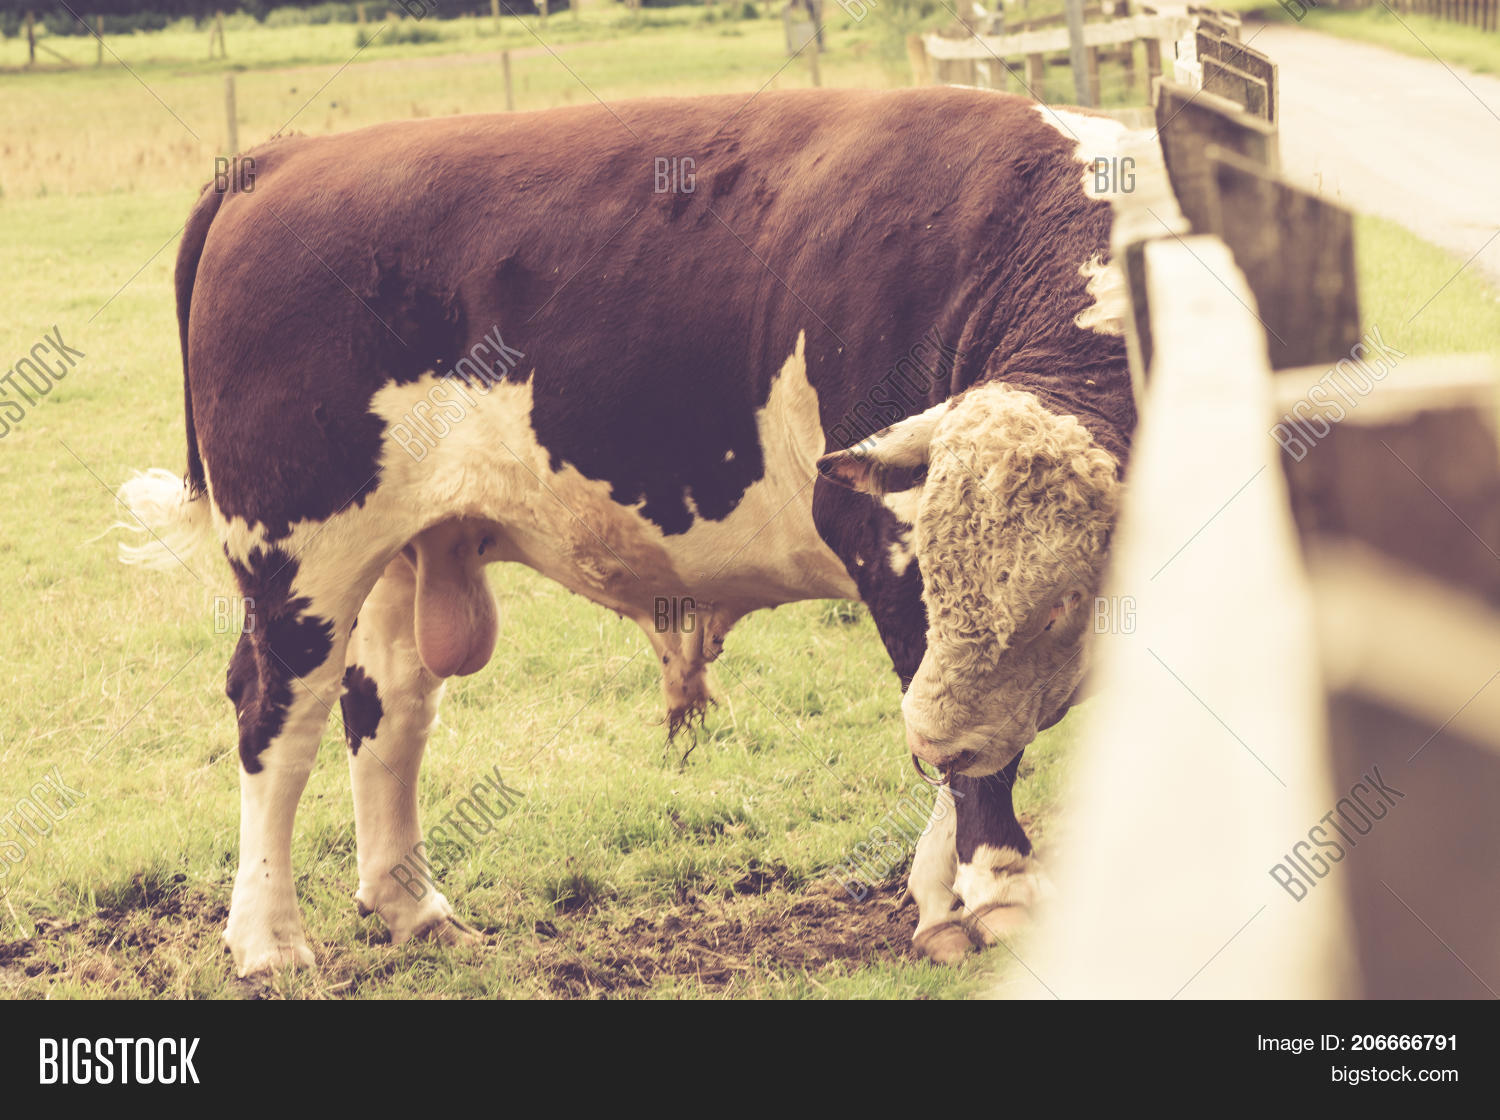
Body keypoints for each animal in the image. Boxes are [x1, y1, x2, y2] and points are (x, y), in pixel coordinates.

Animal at [118, 86, 1136, 977]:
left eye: (1062, 604)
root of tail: (283, 158)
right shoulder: (876, 526)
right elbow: (969, 735)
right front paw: (998, 888)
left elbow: (969, 720)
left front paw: (943, 895)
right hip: (297, 551)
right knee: (276, 715)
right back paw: (268, 940)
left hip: (403, 546)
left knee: (386, 706)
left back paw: (412, 907)